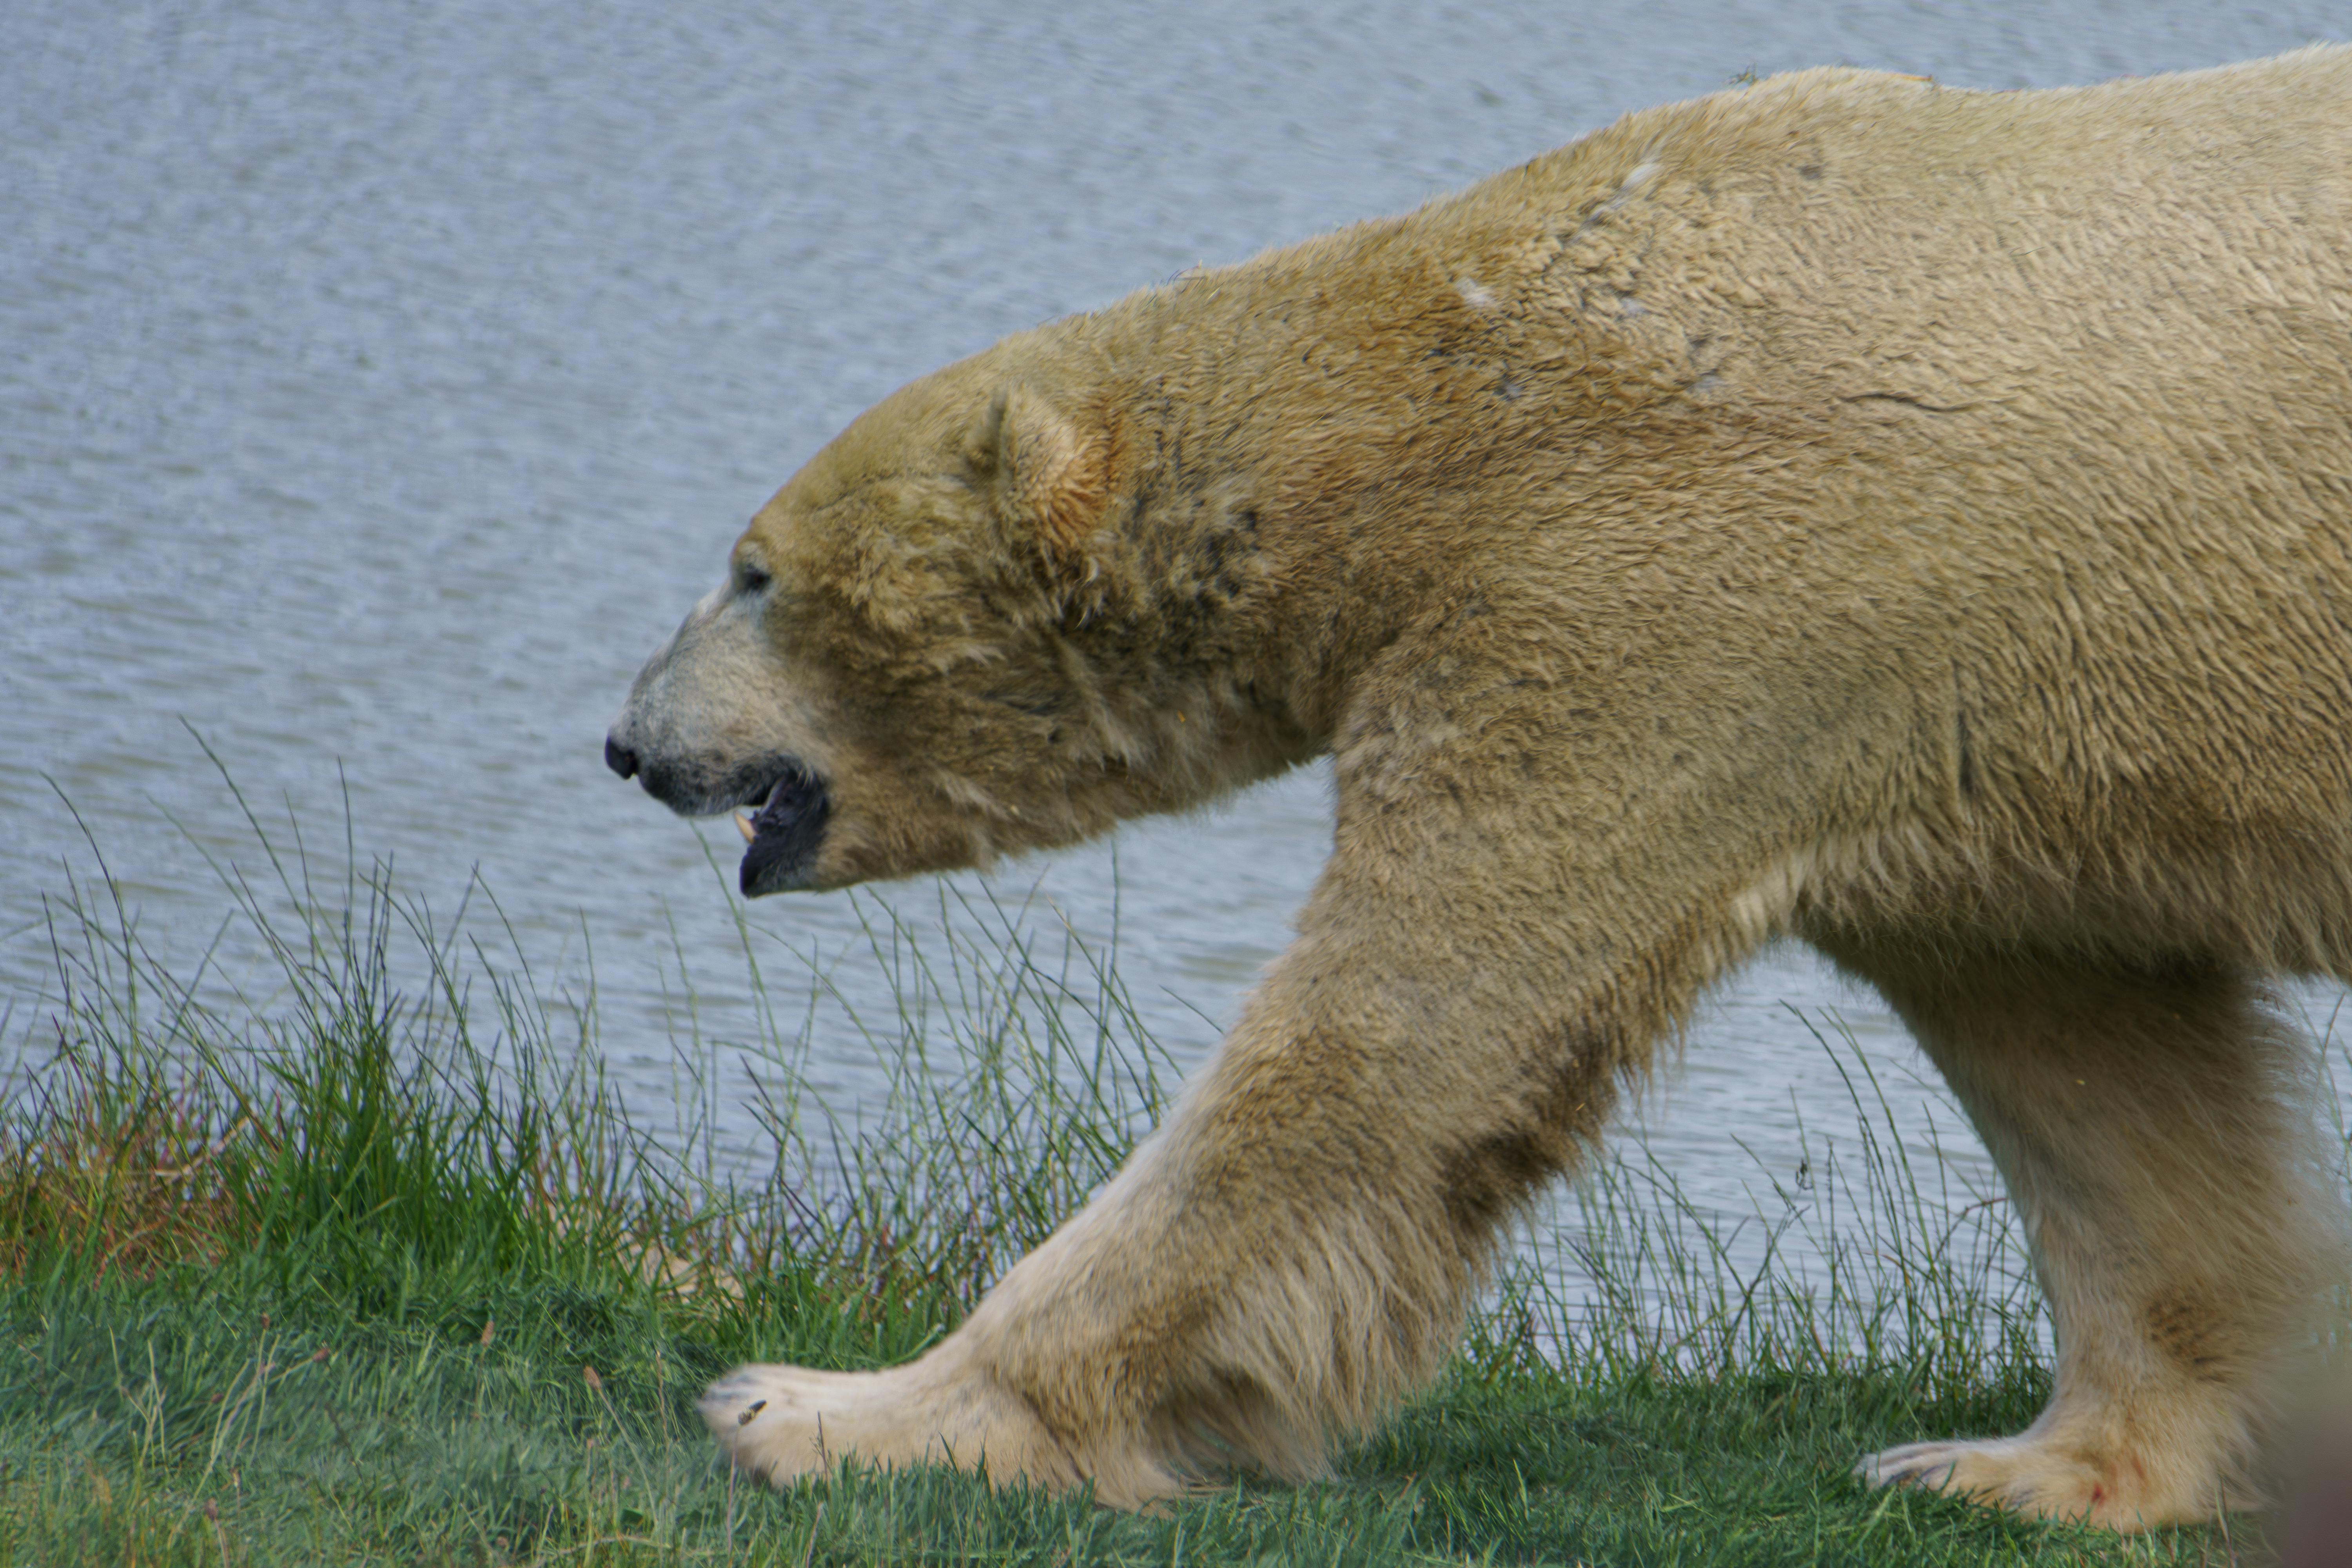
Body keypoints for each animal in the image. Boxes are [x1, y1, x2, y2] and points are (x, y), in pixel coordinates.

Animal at [605, 48, 2352, 1531]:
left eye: (752, 573)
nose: (628, 741)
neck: (1444, 381)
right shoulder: (1951, 731)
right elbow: (2097, 1075)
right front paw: (2022, 1465)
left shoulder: (1647, 604)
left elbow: (1390, 1041)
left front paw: (814, 1410)